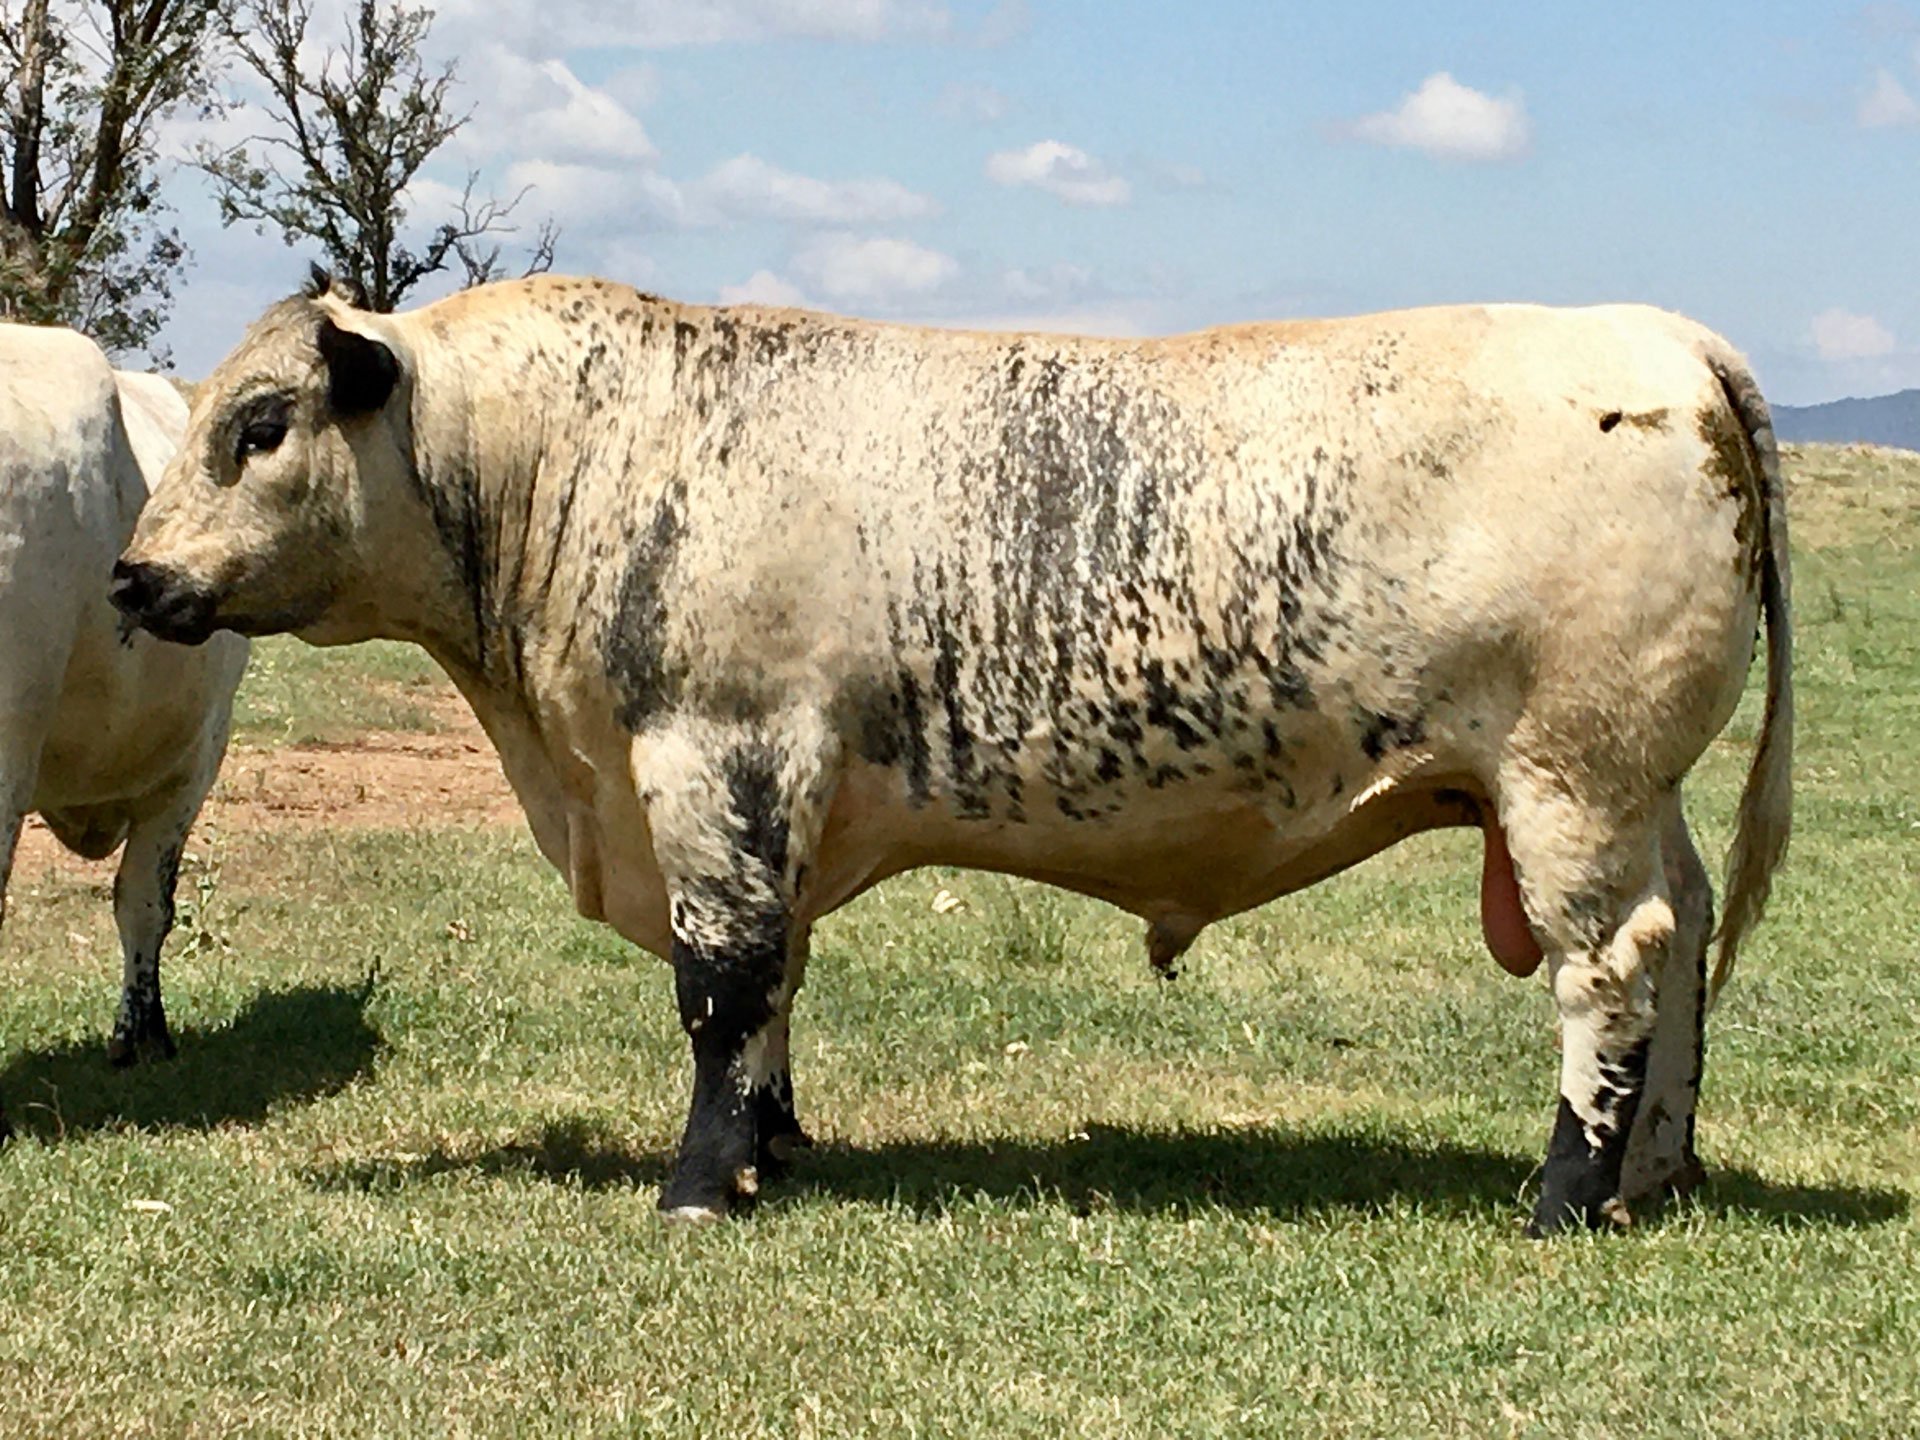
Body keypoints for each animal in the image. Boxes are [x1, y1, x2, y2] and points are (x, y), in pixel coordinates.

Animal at [111, 272, 1790, 1234]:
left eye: (258, 423)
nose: (131, 581)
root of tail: (1665, 338)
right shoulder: (770, 798)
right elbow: (776, 979)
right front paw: (769, 1150)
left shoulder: (713, 761)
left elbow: (721, 986)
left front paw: (696, 1186)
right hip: (1636, 785)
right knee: (1693, 937)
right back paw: (1660, 1172)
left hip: (1571, 779)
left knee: (1614, 968)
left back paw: (1567, 1194)